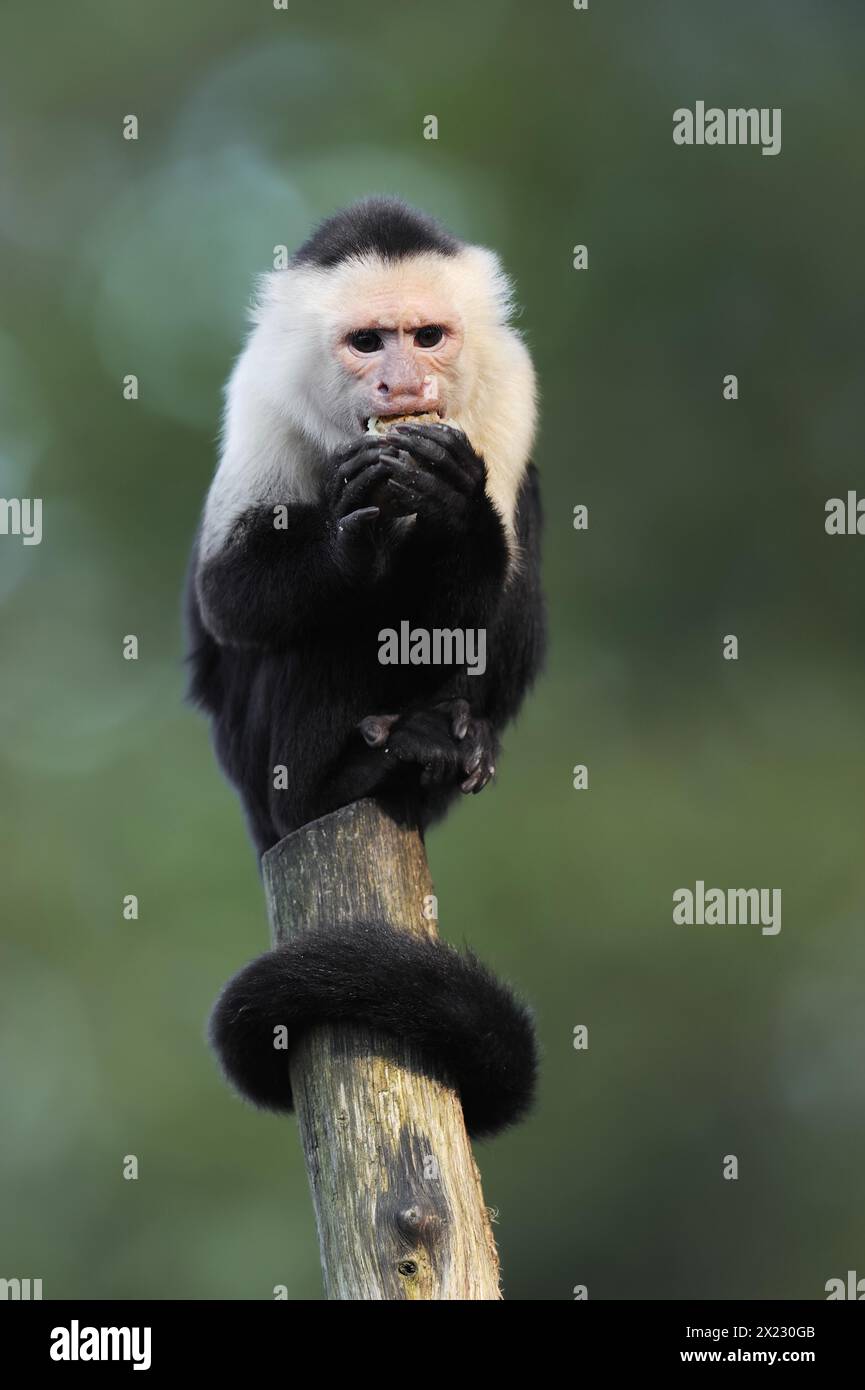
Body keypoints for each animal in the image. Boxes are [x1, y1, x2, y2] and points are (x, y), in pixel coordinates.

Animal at [189, 198, 544, 1138]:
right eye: (366, 342)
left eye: (426, 337)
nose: (401, 385)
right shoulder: (261, 393)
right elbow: (230, 597)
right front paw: (356, 543)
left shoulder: (509, 388)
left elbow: (481, 602)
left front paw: (455, 512)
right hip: (253, 763)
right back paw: (340, 780)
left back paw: (444, 741)